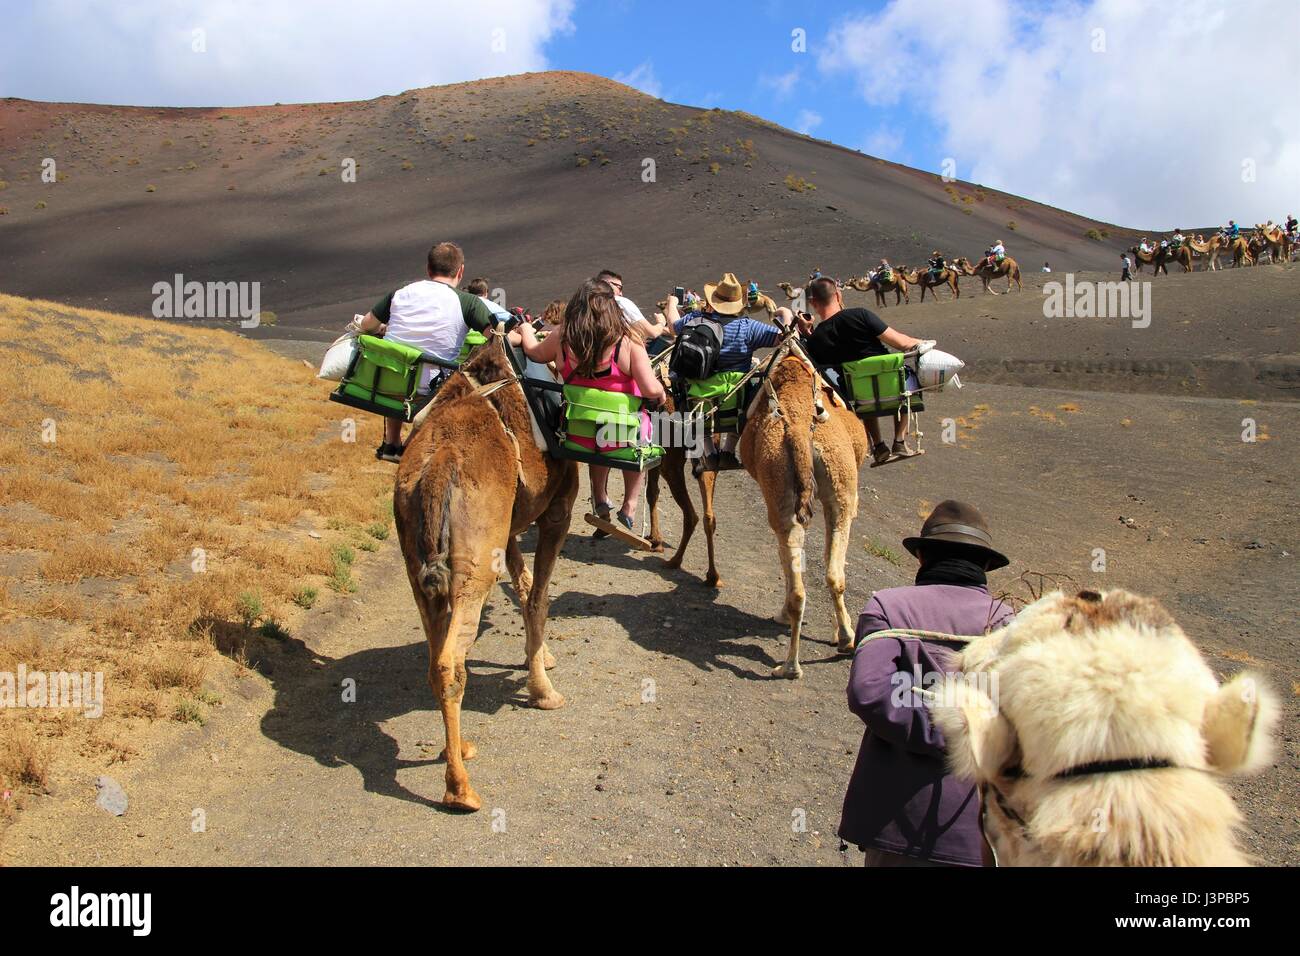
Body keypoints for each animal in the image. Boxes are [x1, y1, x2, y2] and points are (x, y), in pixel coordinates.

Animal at [393, 335, 579, 811]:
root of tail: (438, 465)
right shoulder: (558, 511)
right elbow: (538, 598)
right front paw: (544, 691)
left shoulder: (508, 527)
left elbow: (523, 581)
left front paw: (542, 660)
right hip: (473, 567)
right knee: (449, 663)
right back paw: (460, 790)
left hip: (417, 562)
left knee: (436, 652)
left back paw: (457, 750)